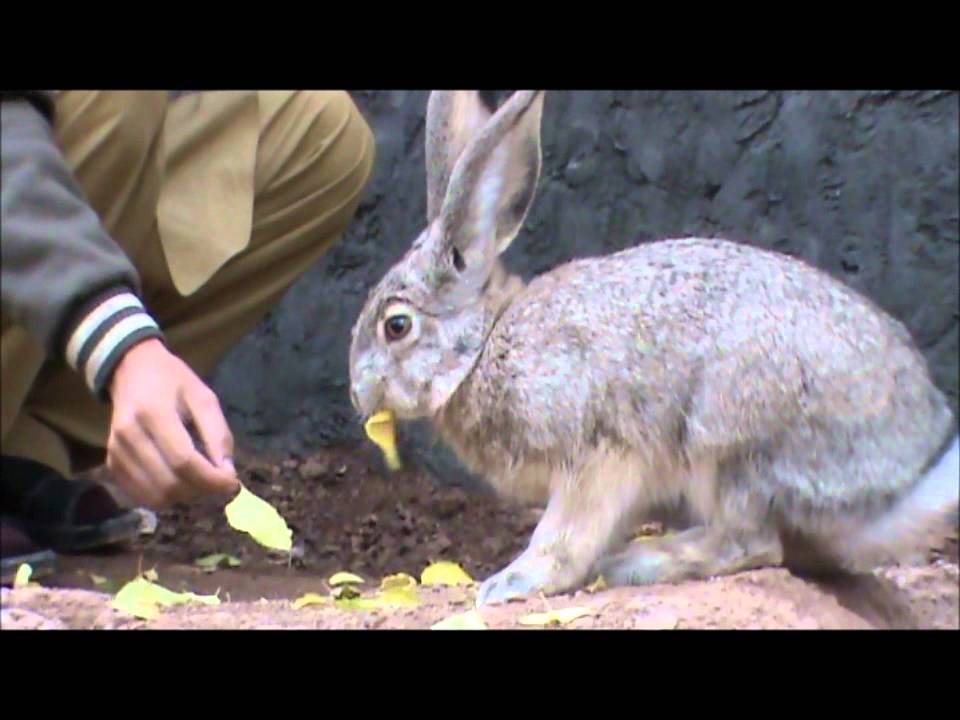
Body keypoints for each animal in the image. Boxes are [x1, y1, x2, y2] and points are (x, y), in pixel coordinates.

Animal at [348, 90, 959, 607]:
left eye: (397, 326)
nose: (358, 395)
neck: (485, 345)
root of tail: (901, 480)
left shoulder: (597, 454)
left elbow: (565, 535)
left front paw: (509, 584)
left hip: (730, 440)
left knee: (754, 542)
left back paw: (638, 562)